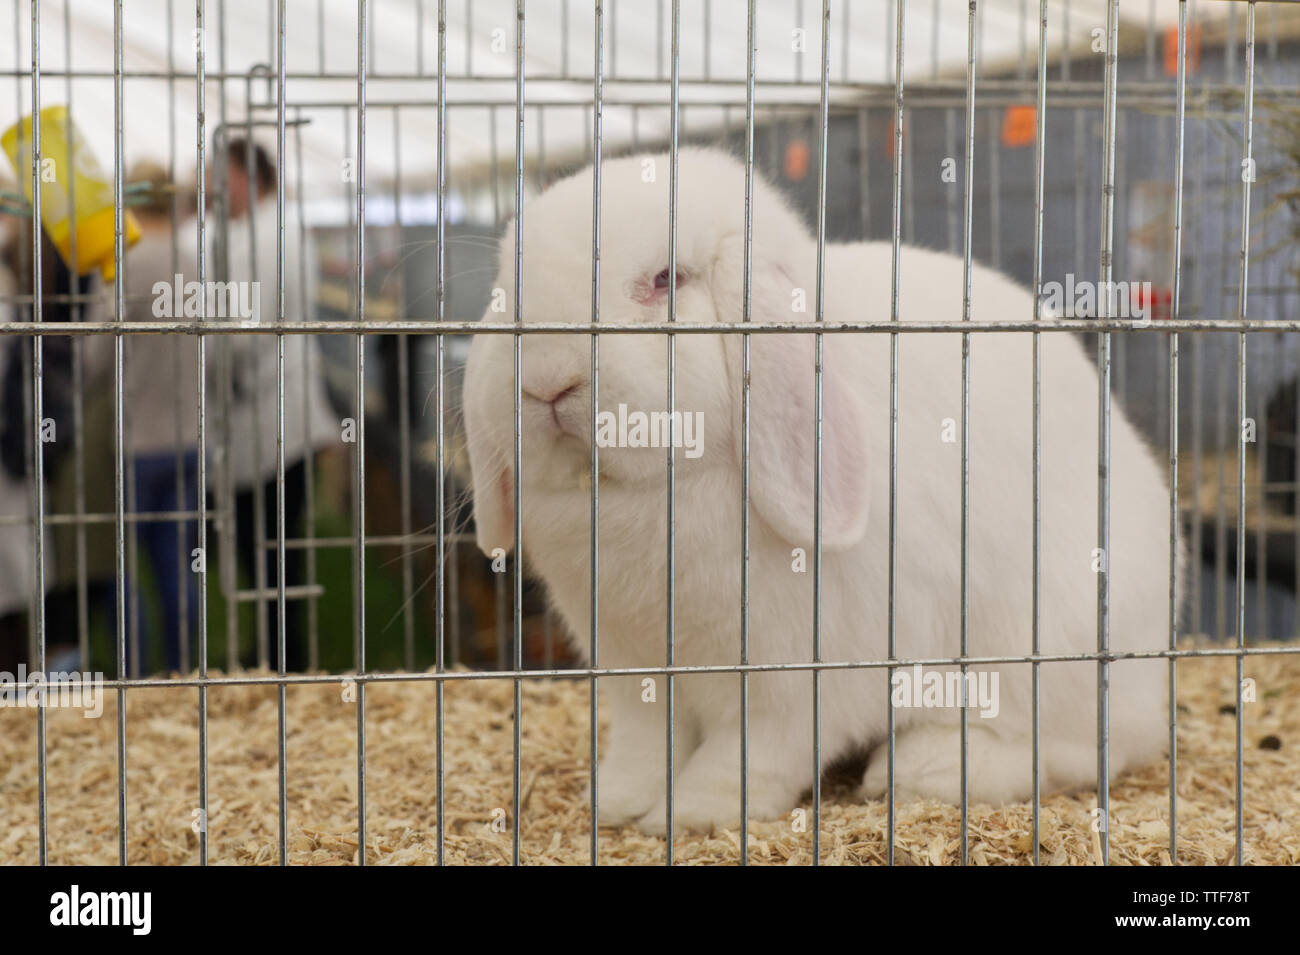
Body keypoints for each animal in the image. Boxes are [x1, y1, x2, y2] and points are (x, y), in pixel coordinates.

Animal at [462, 147, 1182, 835]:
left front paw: (692, 813)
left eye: (668, 280)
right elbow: (645, 745)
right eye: (507, 292)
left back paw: (925, 767)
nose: (546, 381)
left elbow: (751, 753)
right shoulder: (633, 669)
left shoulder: (790, 681)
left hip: (1055, 652)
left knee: (1078, 749)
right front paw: (613, 803)